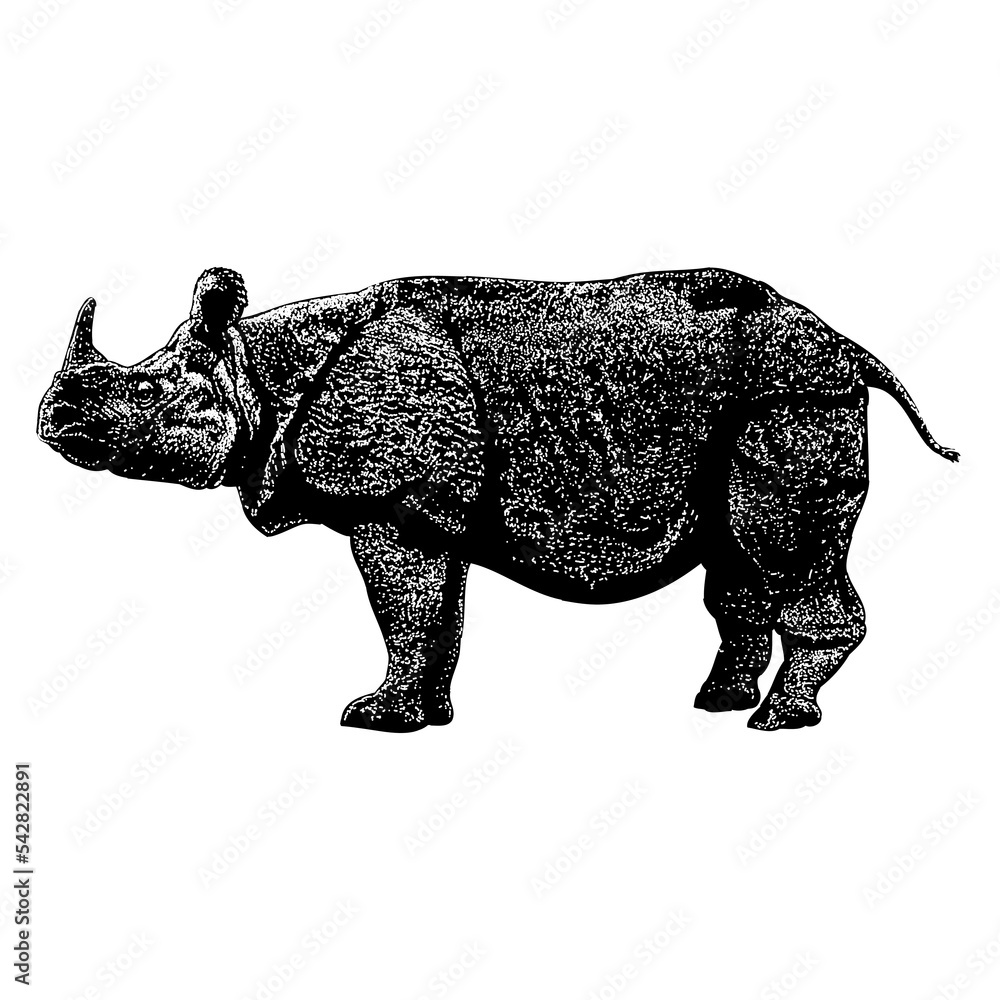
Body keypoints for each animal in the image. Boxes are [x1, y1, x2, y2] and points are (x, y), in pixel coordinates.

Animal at [37, 266, 958, 732]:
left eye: (150, 392)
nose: (52, 420)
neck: (259, 368)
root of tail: (851, 347)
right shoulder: (427, 506)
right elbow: (437, 616)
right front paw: (427, 718)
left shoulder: (390, 501)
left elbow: (403, 609)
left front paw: (371, 720)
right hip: (772, 398)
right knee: (737, 562)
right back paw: (717, 703)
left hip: (794, 396)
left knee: (778, 548)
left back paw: (778, 723)